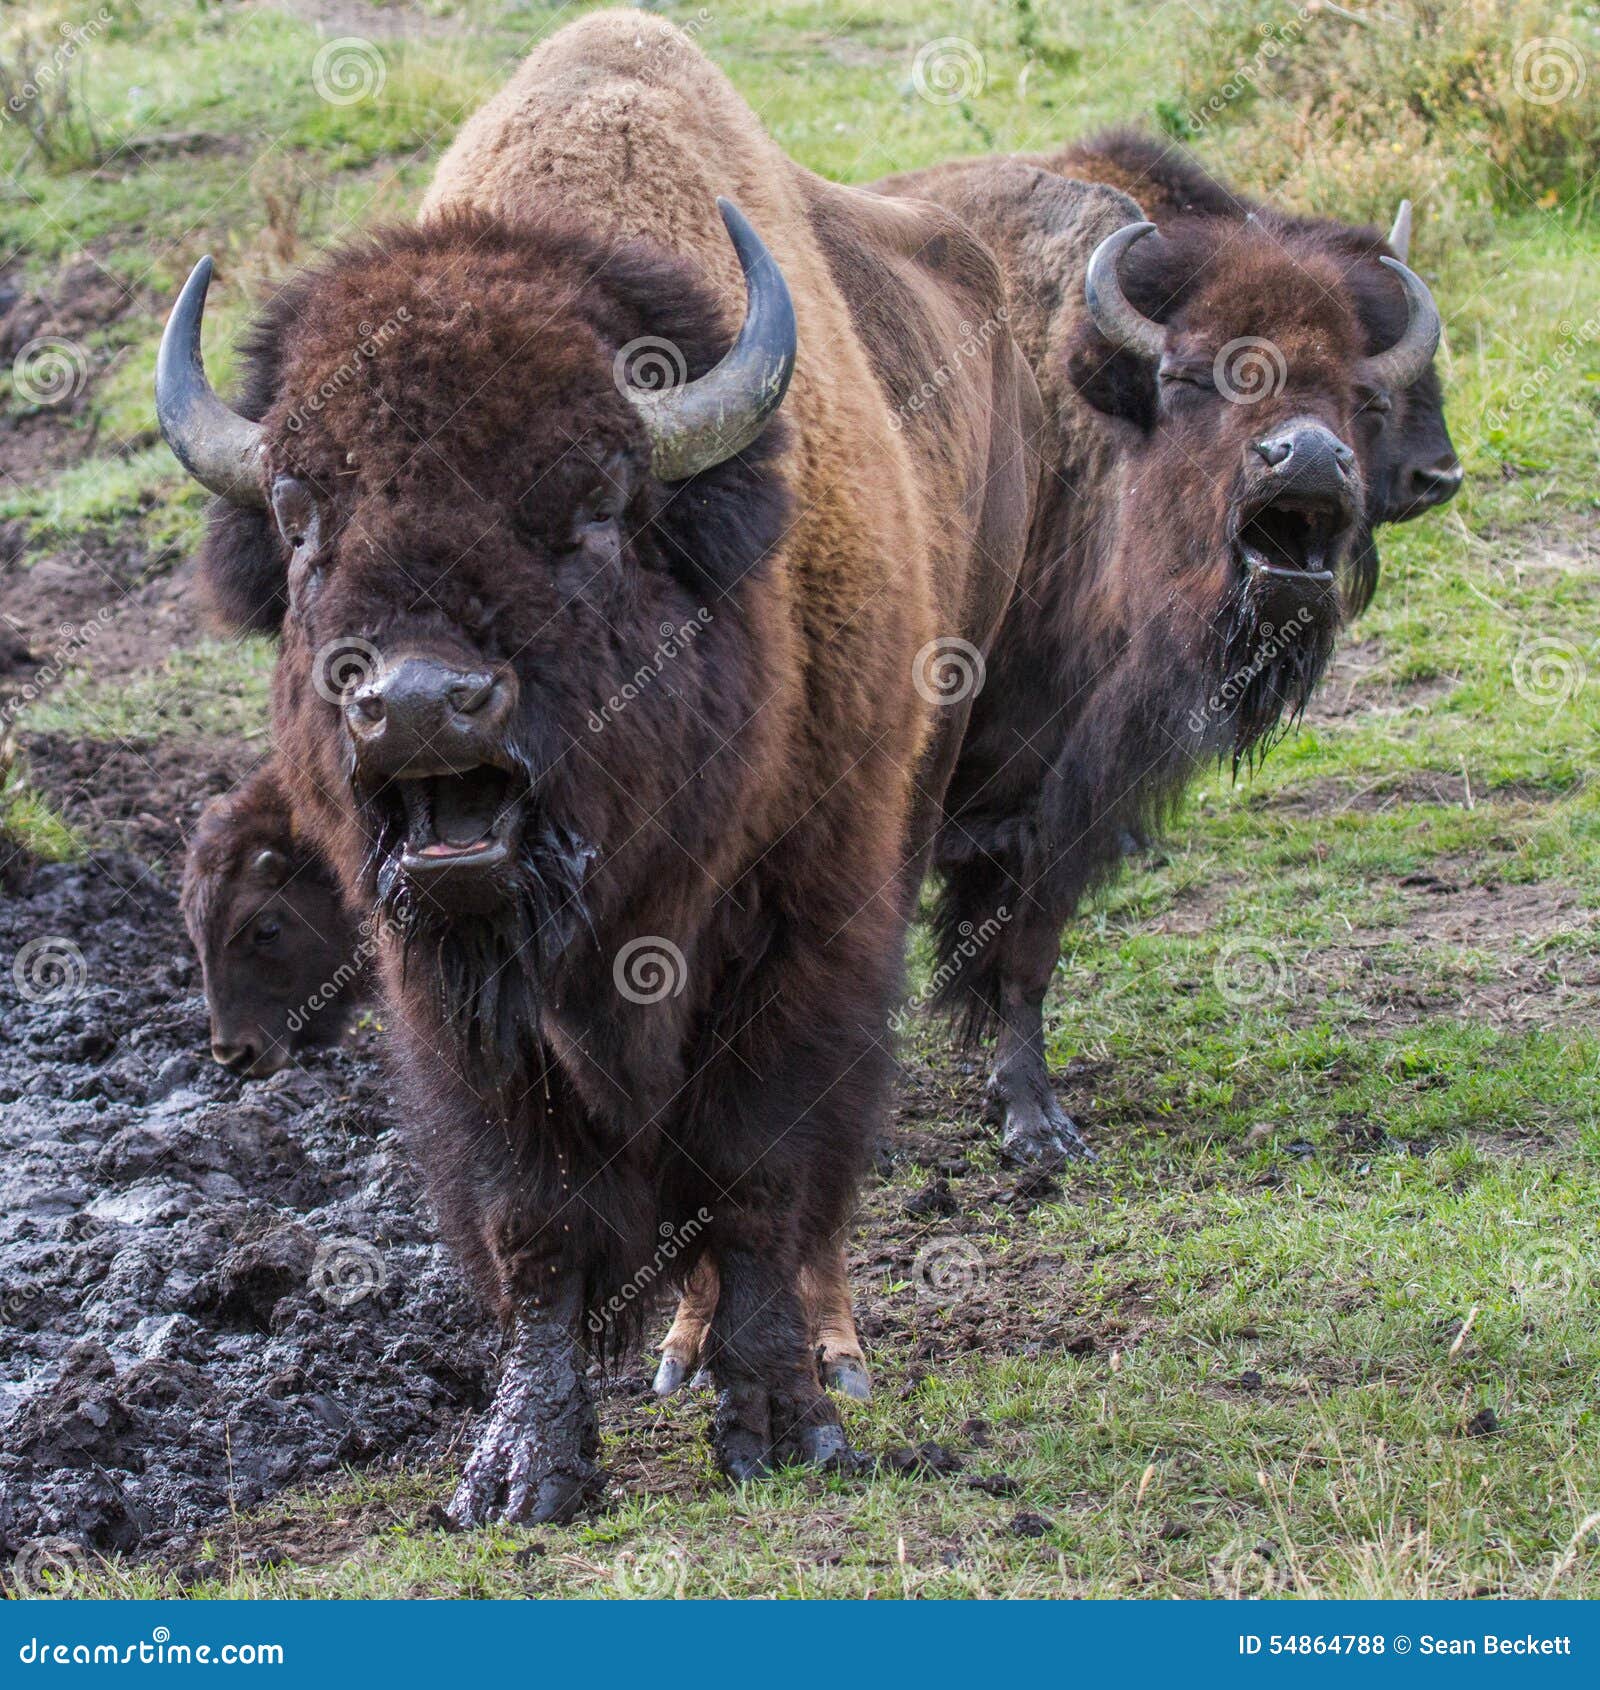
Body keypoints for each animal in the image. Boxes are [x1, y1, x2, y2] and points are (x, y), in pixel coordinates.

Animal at [155, 12, 1037, 1522]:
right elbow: (536, 1223)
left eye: (592, 505)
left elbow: (759, 1172)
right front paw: (519, 1475)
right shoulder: (455, 1004)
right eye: (300, 512)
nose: (418, 703)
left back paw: (827, 1350)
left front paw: (786, 1422)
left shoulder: (799, 931)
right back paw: (677, 1356)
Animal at [872, 160, 1442, 1163]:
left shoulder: (1068, 782)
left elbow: (1030, 950)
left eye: (1366, 402)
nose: (1310, 456)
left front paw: (1037, 1122)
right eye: (1195, 378)